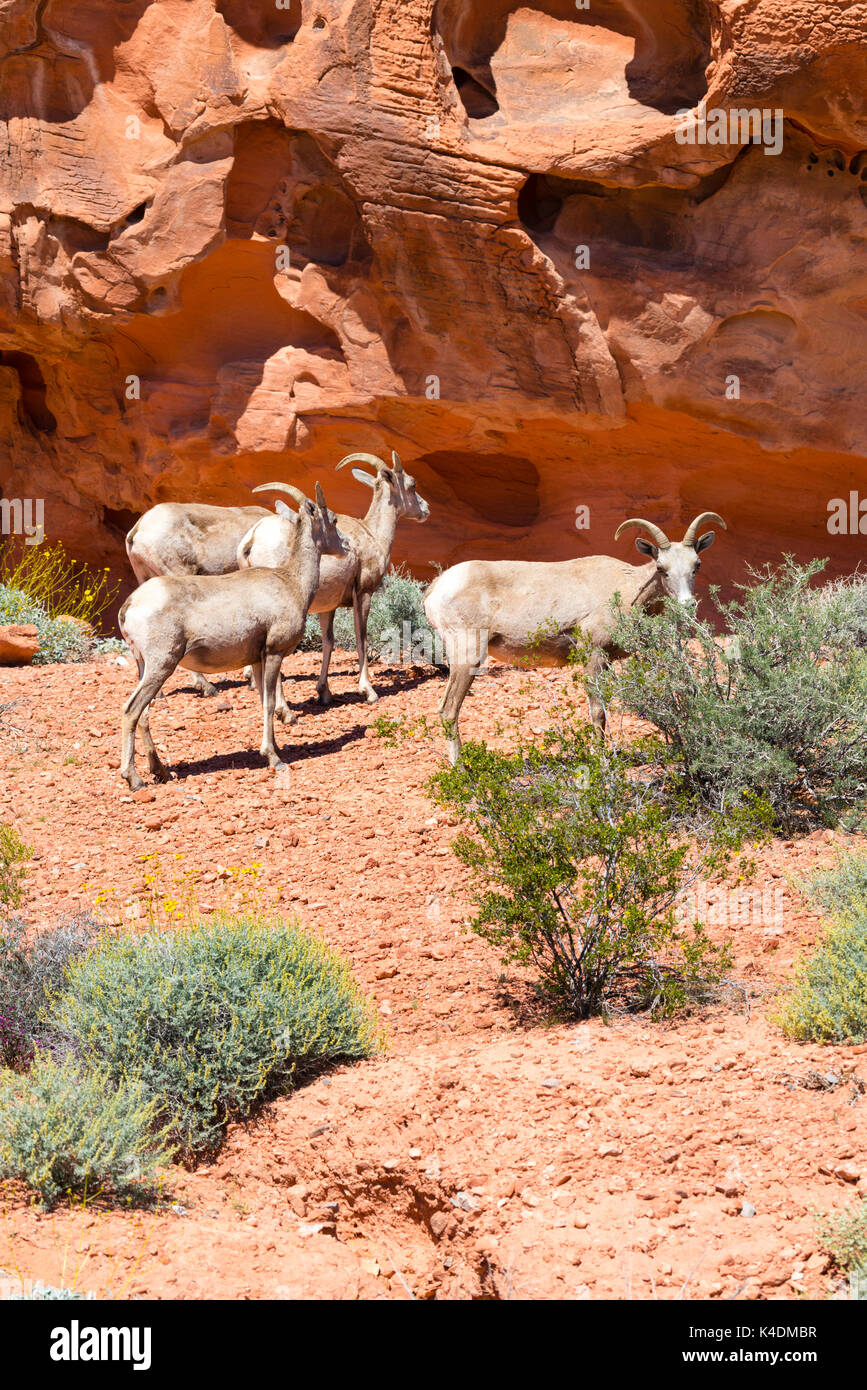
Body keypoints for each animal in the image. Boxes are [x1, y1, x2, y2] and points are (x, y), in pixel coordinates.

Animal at [118, 485, 348, 791]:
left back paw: (161, 771)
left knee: (143, 714)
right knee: (131, 711)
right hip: (161, 665)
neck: (292, 582)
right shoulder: (274, 653)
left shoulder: (259, 659)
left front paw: (275, 749)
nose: (346, 546)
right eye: (333, 519)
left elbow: (263, 700)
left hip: (143, 666)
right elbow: (270, 703)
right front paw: (274, 758)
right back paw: (135, 779)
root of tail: (130, 606)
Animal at [237, 450, 430, 718]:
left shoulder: (327, 607)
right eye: (412, 484)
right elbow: (362, 637)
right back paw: (285, 710)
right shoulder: (364, 593)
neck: (373, 535)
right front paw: (369, 692)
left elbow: (328, 642)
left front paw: (324, 693)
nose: (426, 509)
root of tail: (253, 538)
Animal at [423, 512, 727, 763]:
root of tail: (436, 588)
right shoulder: (592, 655)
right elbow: (598, 712)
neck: (626, 591)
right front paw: (601, 762)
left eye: (696, 565)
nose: (688, 605)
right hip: (467, 656)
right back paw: (461, 771)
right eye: (662, 568)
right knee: (448, 710)